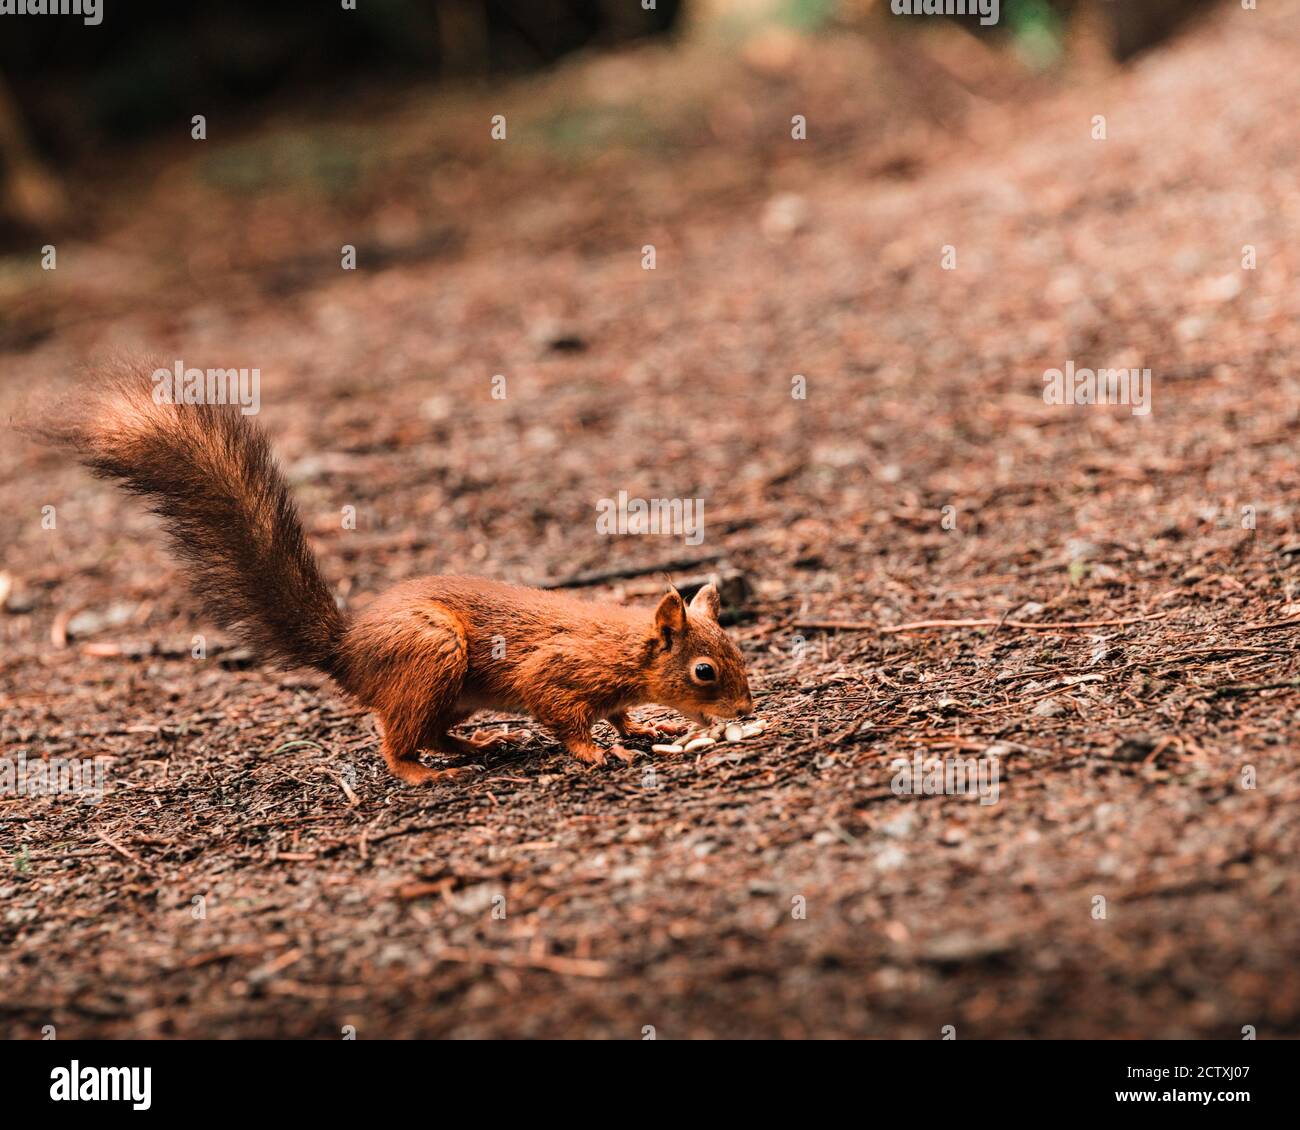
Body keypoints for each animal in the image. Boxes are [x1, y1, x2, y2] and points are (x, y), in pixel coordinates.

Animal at [28, 359, 755, 785]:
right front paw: (598, 752)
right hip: (433, 654)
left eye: (739, 654)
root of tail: (347, 652)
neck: (626, 648)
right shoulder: (555, 671)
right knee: (398, 740)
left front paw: (645, 728)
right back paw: (426, 773)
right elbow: (563, 715)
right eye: (704, 672)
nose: (748, 709)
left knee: (431, 729)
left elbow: (623, 714)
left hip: (450, 687)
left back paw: (477, 746)